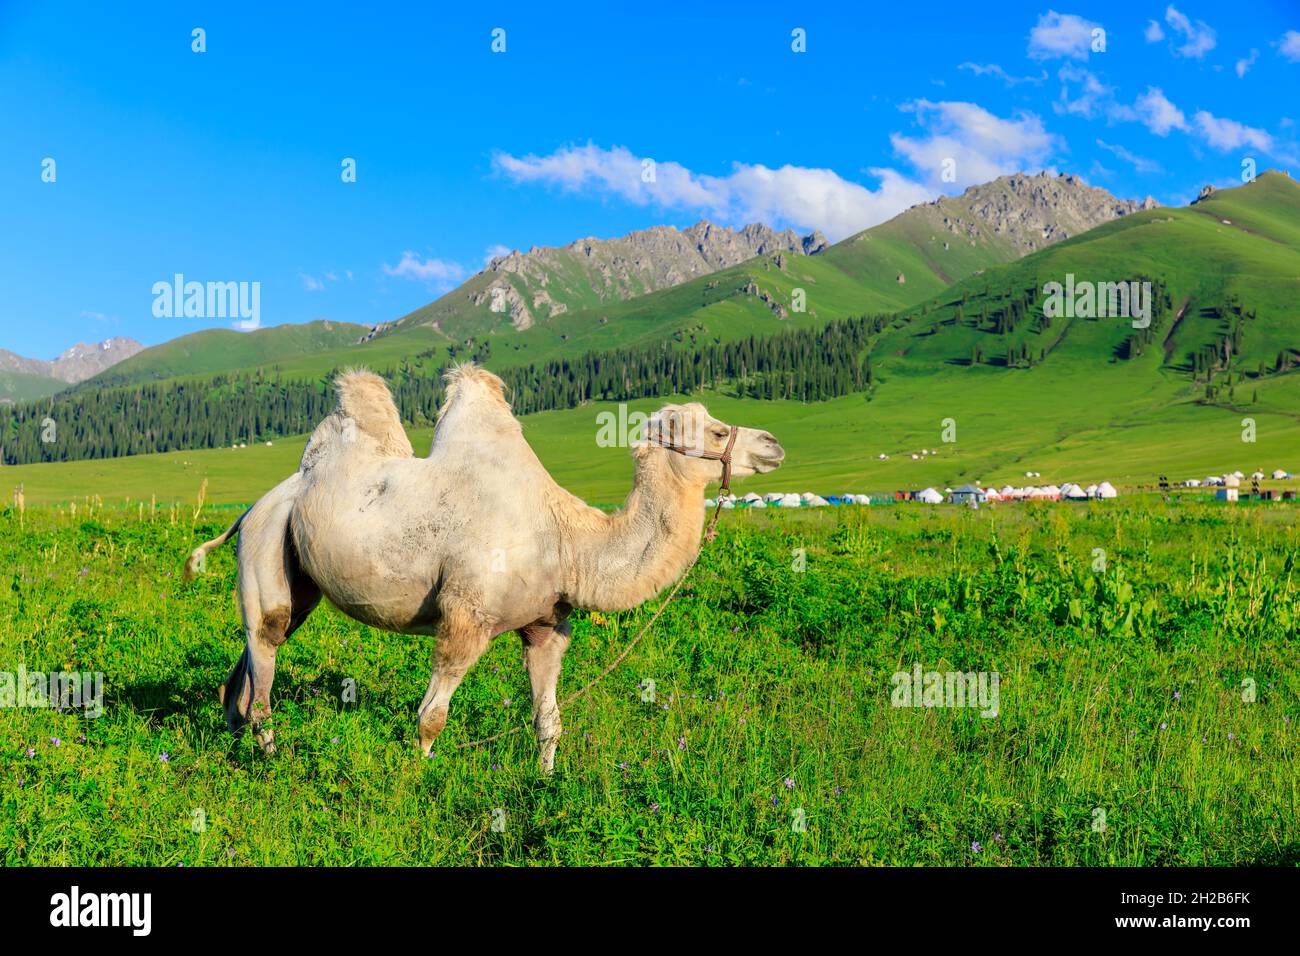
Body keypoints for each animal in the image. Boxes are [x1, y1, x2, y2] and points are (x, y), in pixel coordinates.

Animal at [185, 364, 784, 770]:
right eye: (714, 431)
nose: (773, 444)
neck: (566, 541)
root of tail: (253, 507)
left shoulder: (546, 626)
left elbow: (548, 720)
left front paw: (545, 783)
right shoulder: (464, 619)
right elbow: (431, 716)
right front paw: (417, 781)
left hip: (295, 579)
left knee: (249, 660)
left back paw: (235, 739)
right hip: (267, 541)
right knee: (267, 649)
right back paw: (270, 757)